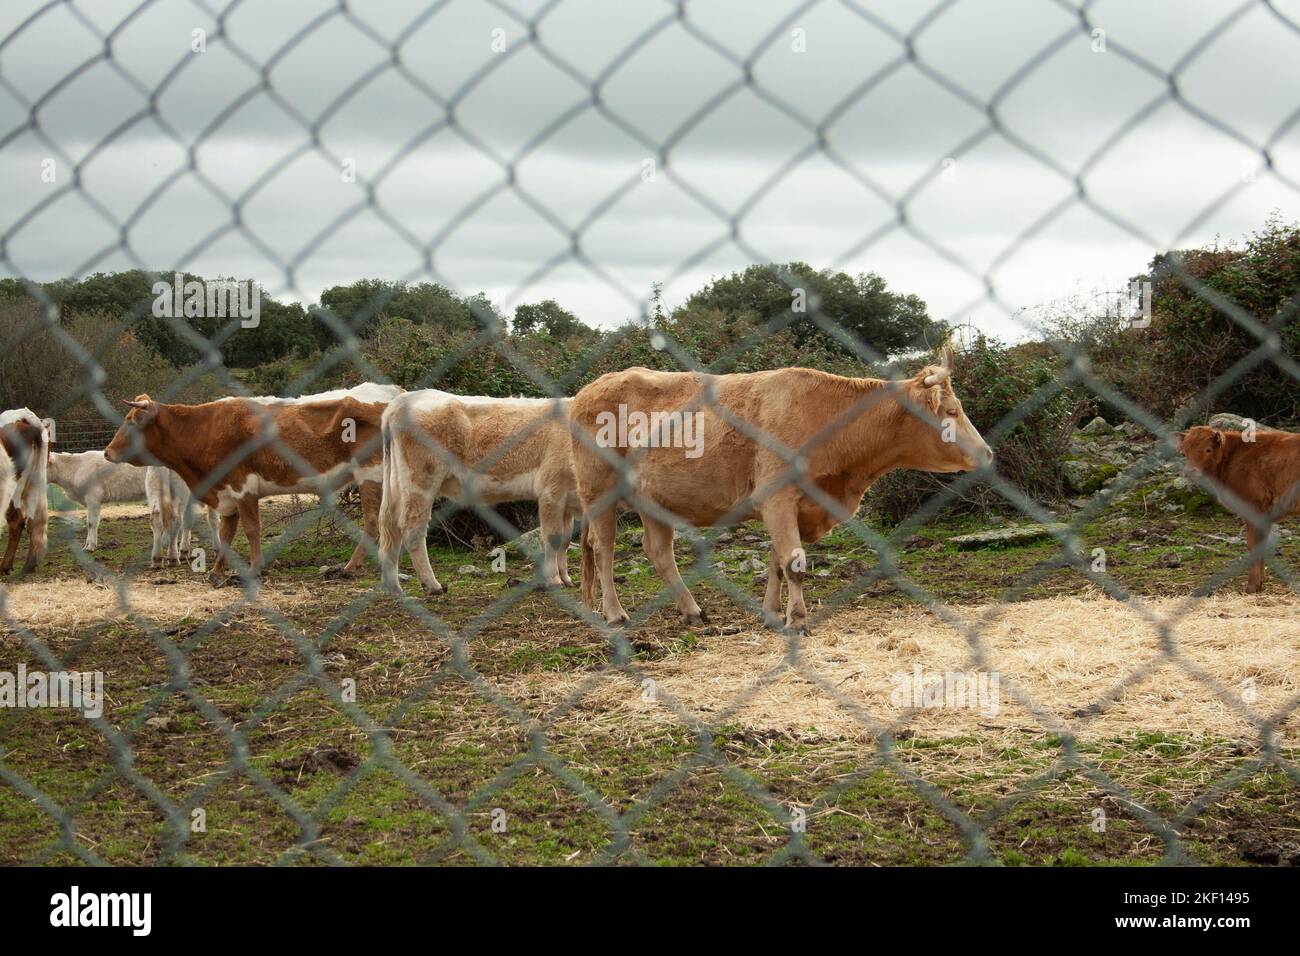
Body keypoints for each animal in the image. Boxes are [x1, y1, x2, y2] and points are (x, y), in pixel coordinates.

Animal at [104, 383, 403, 584]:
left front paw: (254, 568)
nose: (107, 452)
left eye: (131, 422)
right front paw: (217, 571)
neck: (205, 428)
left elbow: (251, 530)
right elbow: (226, 533)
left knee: (373, 523)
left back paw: (351, 566)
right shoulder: (225, 493)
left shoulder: (243, 487)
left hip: (370, 476)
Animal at [377, 391, 580, 595]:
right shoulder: (551, 490)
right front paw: (554, 579)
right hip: (420, 480)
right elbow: (554, 538)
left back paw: (394, 586)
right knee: (413, 530)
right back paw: (432, 584)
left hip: (397, 483)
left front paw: (566, 578)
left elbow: (566, 540)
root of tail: (399, 402)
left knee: (390, 526)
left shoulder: (568, 499)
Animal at [569, 345, 993, 632]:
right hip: (597, 491)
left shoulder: (791, 507)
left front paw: (772, 614)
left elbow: (776, 560)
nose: (987, 453)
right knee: (602, 548)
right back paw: (614, 613)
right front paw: (797, 620)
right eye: (951, 411)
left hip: (654, 499)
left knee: (658, 552)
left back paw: (692, 610)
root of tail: (589, 389)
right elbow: (793, 562)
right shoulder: (777, 498)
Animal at [1178, 425, 1300, 593]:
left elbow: (1253, 544)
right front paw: (1260, 581)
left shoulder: (1254, 508)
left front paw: (1252, 586)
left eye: (1208, 450)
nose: (1190, 471)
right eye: (1184, 452)